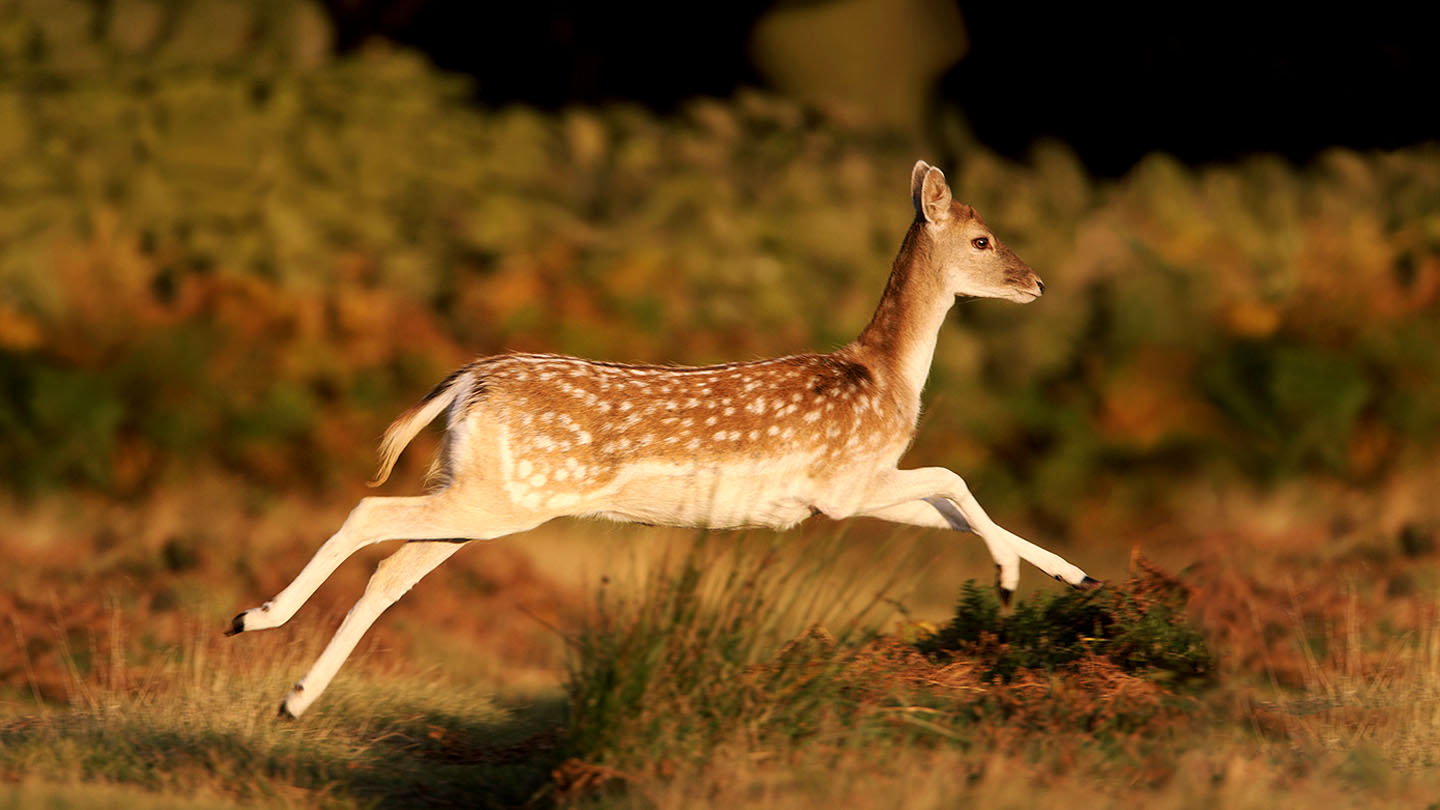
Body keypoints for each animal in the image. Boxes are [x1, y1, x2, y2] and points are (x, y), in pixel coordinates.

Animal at [226, 160, 1101, 718]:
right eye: (982, 240)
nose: (1039, 282)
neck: (885, 378)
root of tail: (468, 380)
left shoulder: (849, 494)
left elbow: (955, 512)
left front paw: (1072, 574)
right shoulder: (842, 480)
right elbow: (955, 480)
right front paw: (1010, 579)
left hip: (480, 493)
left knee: (392, 570)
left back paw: (294, 699)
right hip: (502, 495)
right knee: (369, 514)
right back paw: (252, 621)